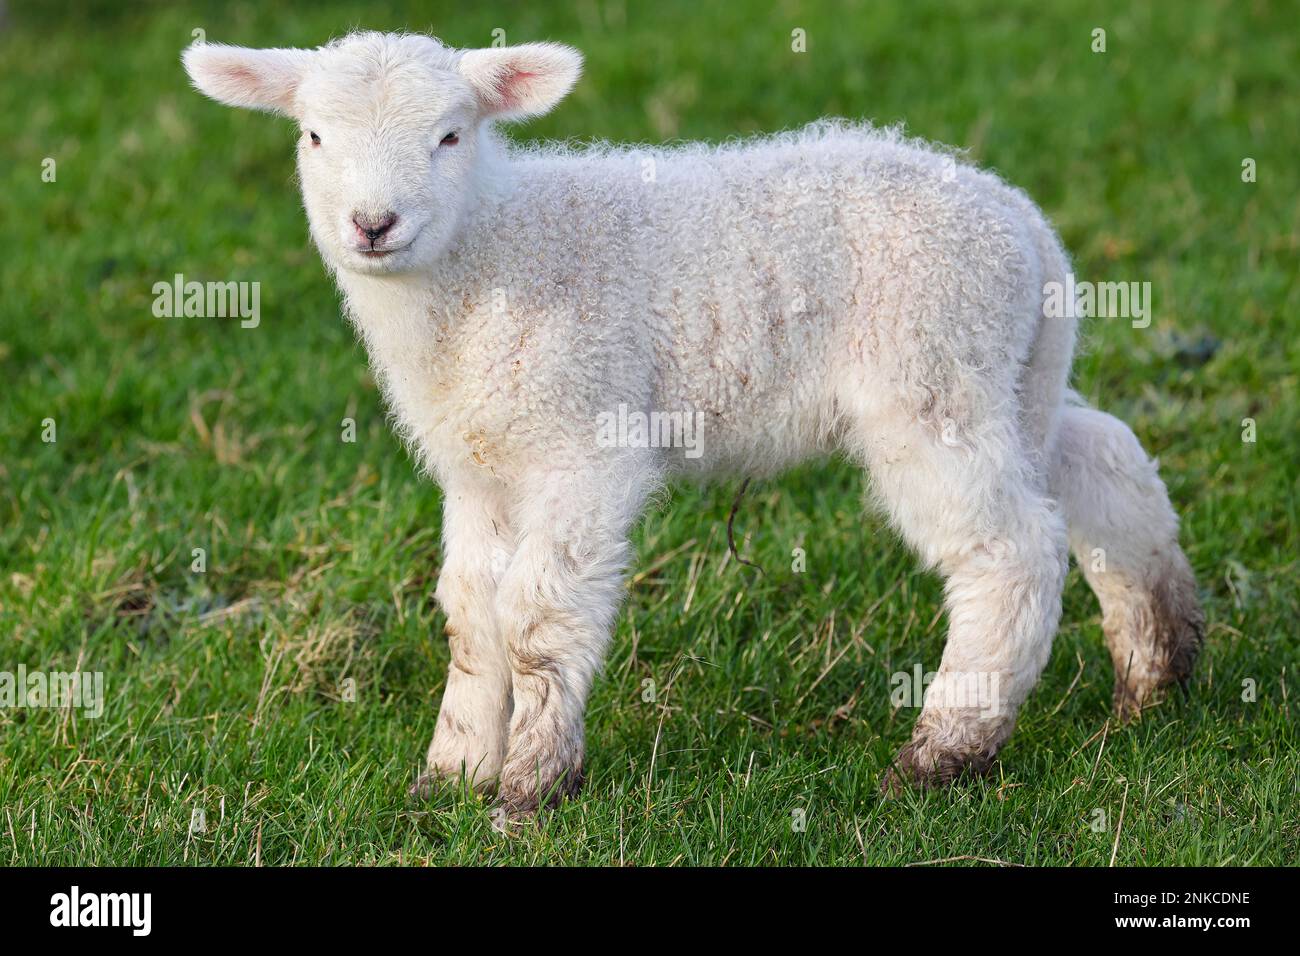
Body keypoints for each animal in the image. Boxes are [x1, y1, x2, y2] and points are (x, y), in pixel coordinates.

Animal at [183, 31, 1204, 814]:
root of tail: (1023, 221)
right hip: (1013, 377)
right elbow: (471, 616)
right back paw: (1156, 675)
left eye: (449, 135)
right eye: (314, 134)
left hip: (930, 379)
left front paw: (530, 788)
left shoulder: (583, 442)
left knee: (1012, 548)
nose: (373, 224)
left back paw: (943, 753)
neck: (493, 253)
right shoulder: (479, 466)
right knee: (1103, 459)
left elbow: (535, 617)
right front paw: (453, 772)